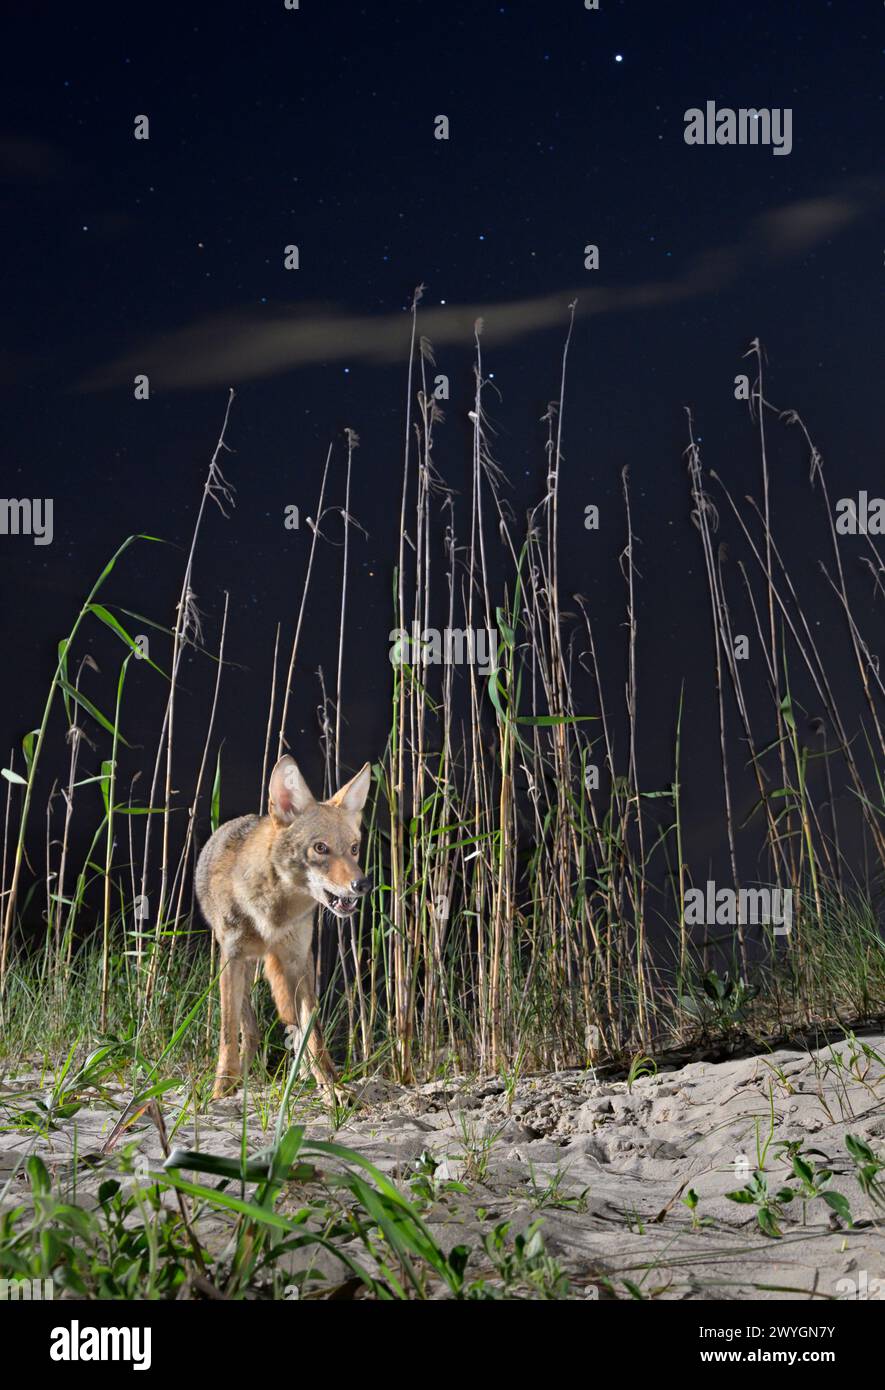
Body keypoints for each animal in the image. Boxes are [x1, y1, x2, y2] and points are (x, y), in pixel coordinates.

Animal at [195, 755, 372, 1099]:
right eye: (320, 848)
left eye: (355, 849)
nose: (362, 885)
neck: (274, 915)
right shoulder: (232, 959)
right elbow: (227, 1033)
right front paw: (221, 1089)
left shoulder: (299, 961)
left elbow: (313, 1034)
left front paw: (332, 1088)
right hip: (243, 968)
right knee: (250, 1030)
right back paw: (241, 1079)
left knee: (293, 1030)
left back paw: (303, 1076)